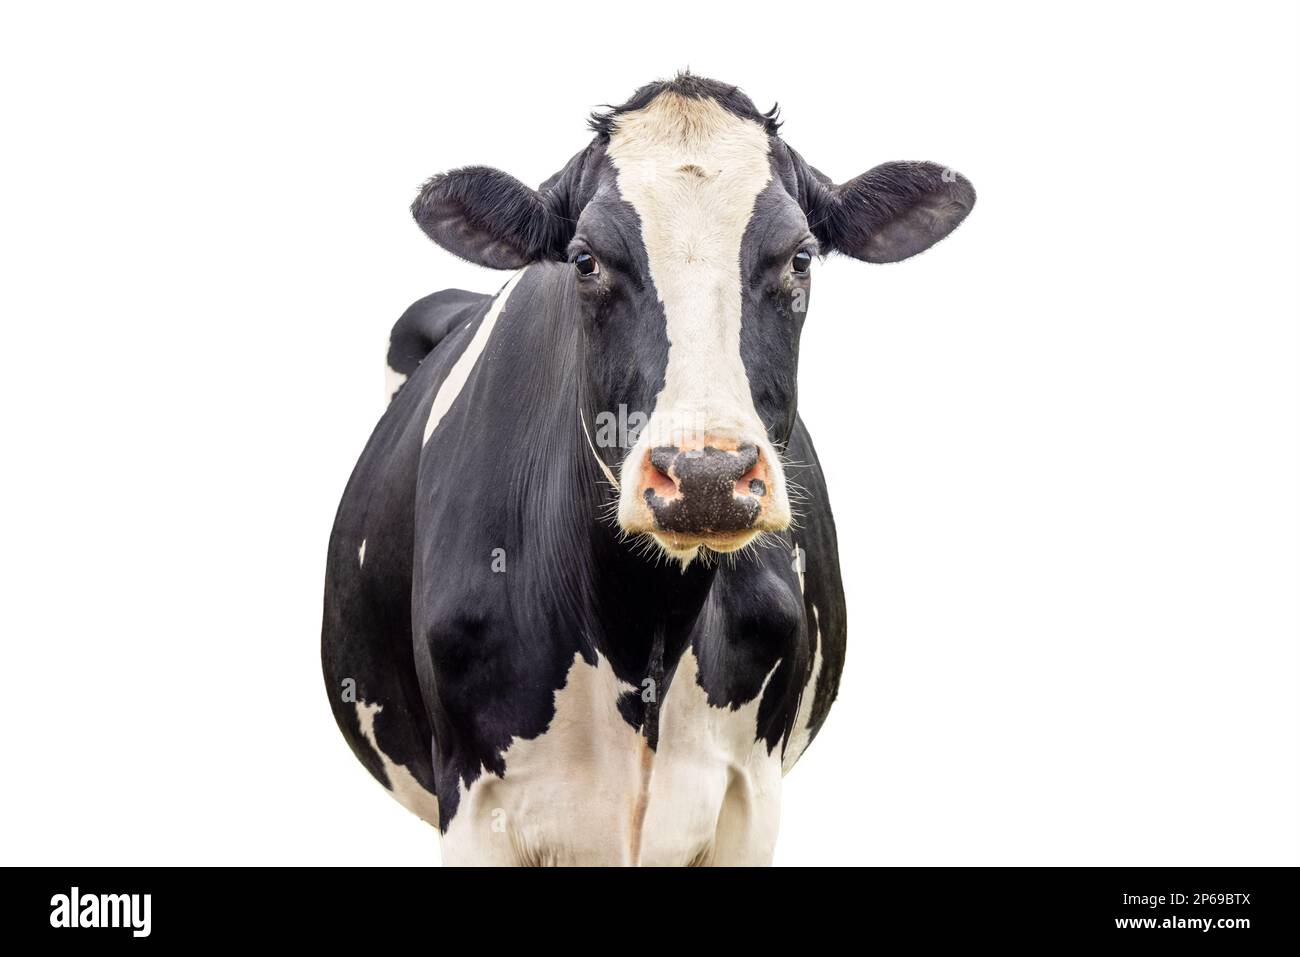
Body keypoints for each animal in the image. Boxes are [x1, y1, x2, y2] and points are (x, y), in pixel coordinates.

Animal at [322, 74, 975, 866]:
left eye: (801, 257)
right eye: (585, 260)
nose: (706, 478)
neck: (644, 629)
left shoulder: (751, 797)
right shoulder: (474, 807)